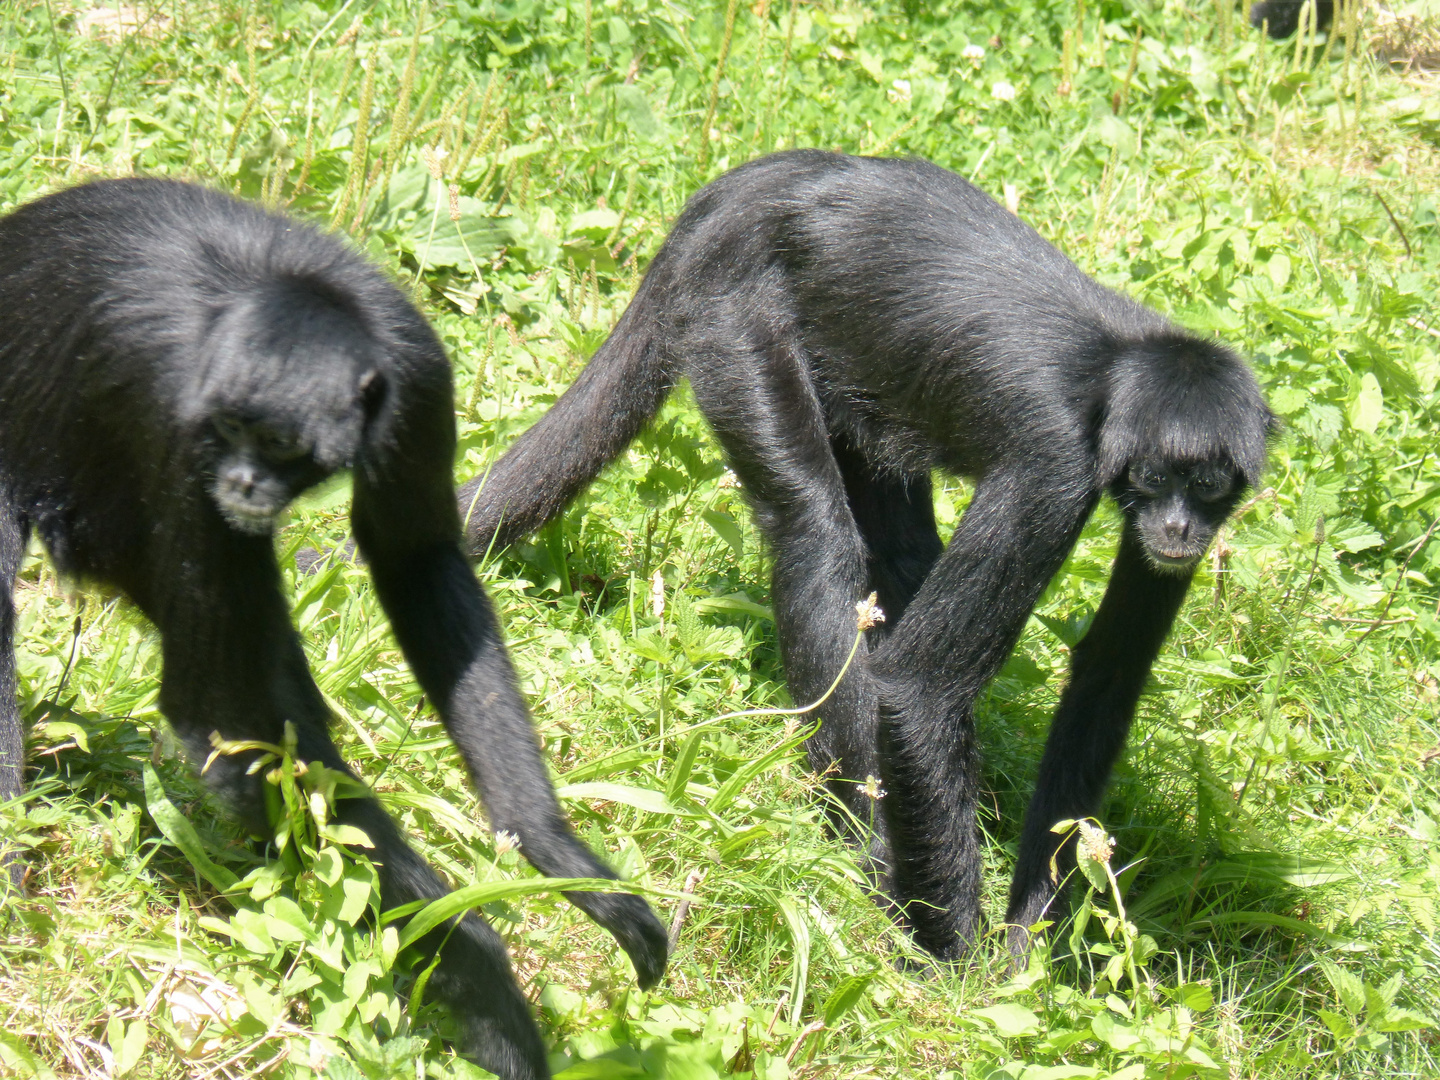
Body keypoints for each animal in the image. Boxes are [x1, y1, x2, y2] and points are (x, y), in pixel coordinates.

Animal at [0, 180, 671, 1080]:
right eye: (229, 429)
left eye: (279, 441)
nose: (244, 481)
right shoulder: (177, 427)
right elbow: (214, 719)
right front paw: (481, 971)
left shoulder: (415, 375)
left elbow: (417, 560)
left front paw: (559, 858)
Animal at [452, 150, 1272, 961]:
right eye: (1157, 478)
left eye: (1206, 486)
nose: (1178, 528)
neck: (1115, 376)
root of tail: (768, 180)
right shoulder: (1057, 466)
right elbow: (916, 688)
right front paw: (958, 968)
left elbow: (1105, 678)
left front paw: (1029, 951)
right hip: (736, 320)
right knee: (814, 529)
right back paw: (866, 858)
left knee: (902, 555)